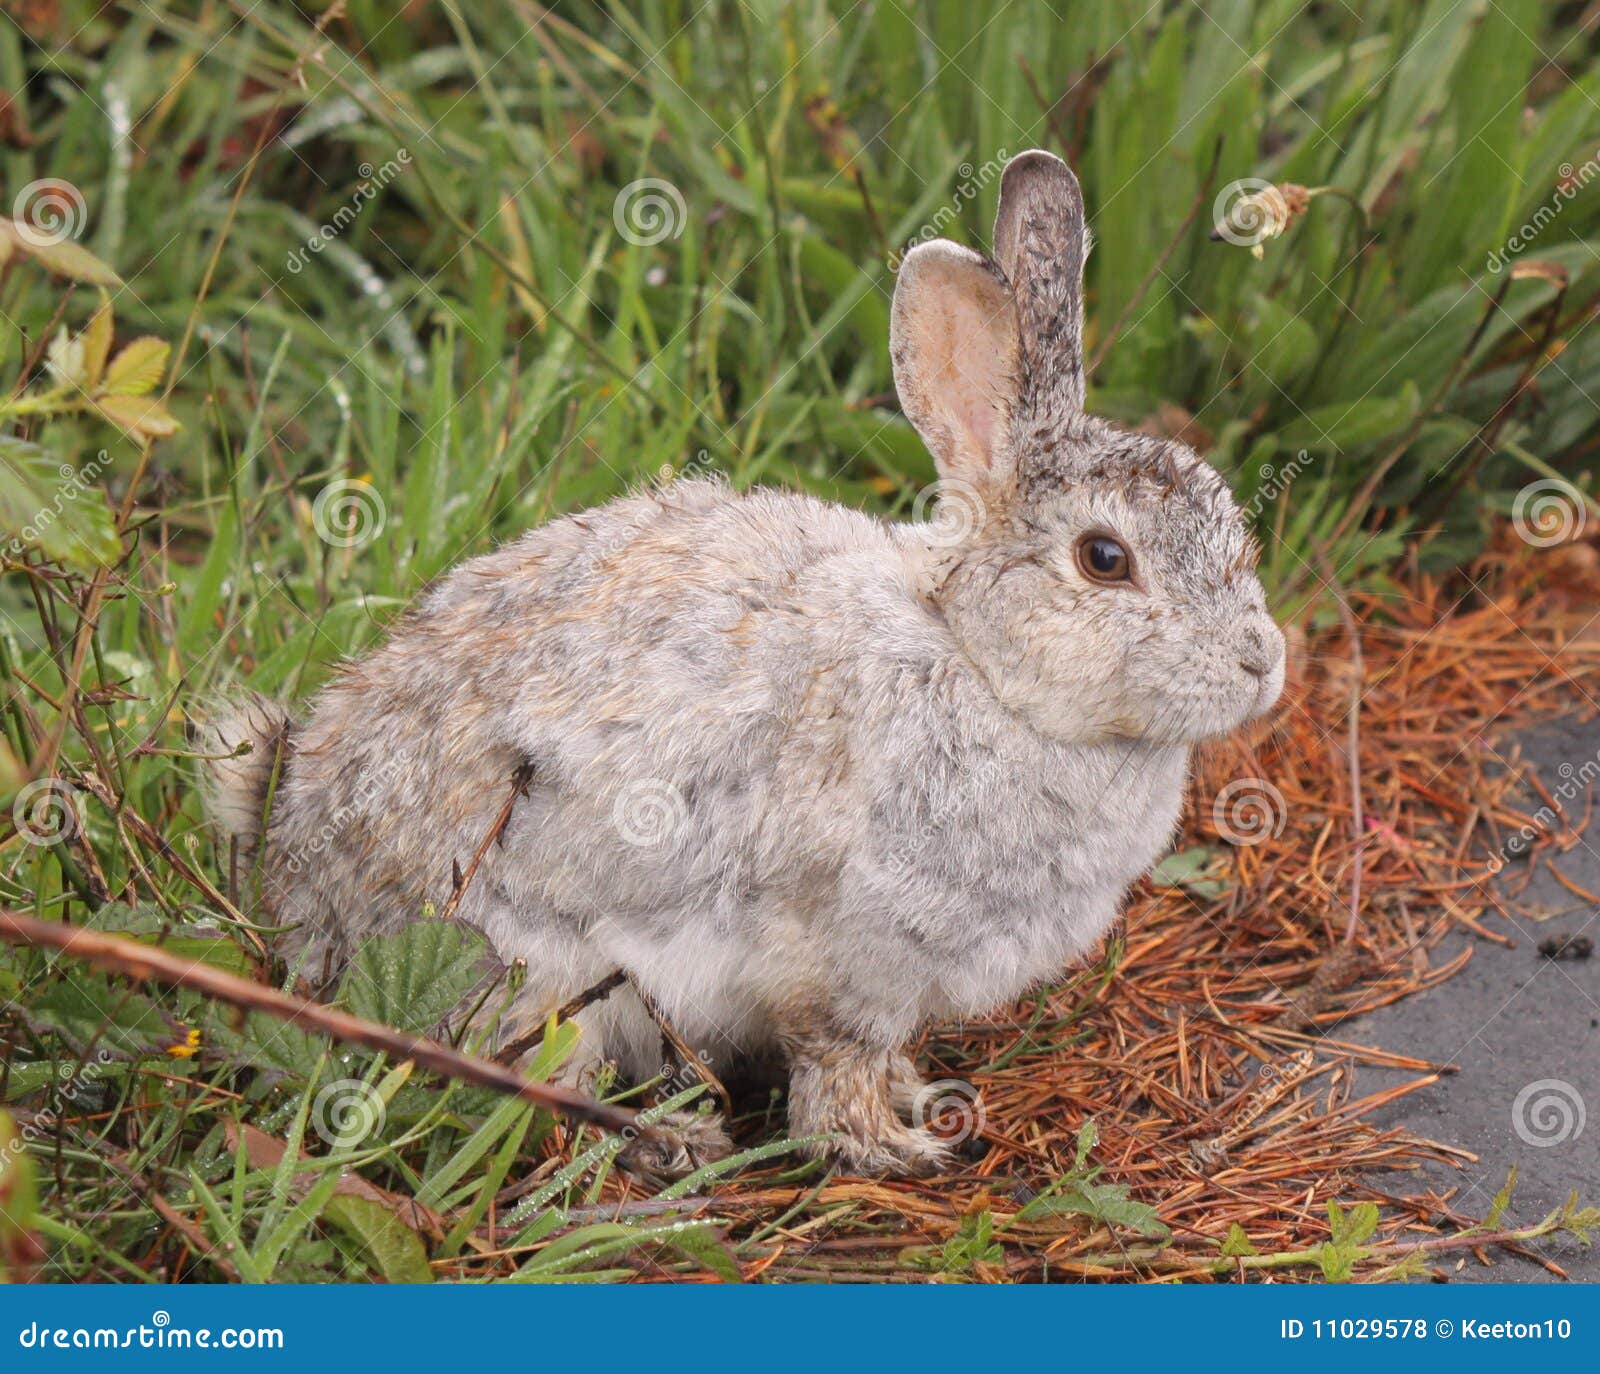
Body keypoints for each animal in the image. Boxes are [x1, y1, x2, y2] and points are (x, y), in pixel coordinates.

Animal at [202, 149, 1285, 1177]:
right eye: (1105, 559)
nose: (1260, 664)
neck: (980, 664)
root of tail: (297, 880)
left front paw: (915, 1102)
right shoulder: (848, 959)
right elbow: (838, 1059)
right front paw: (888, 1147)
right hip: (537, 968)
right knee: (524, 1085)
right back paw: (667, 1144)